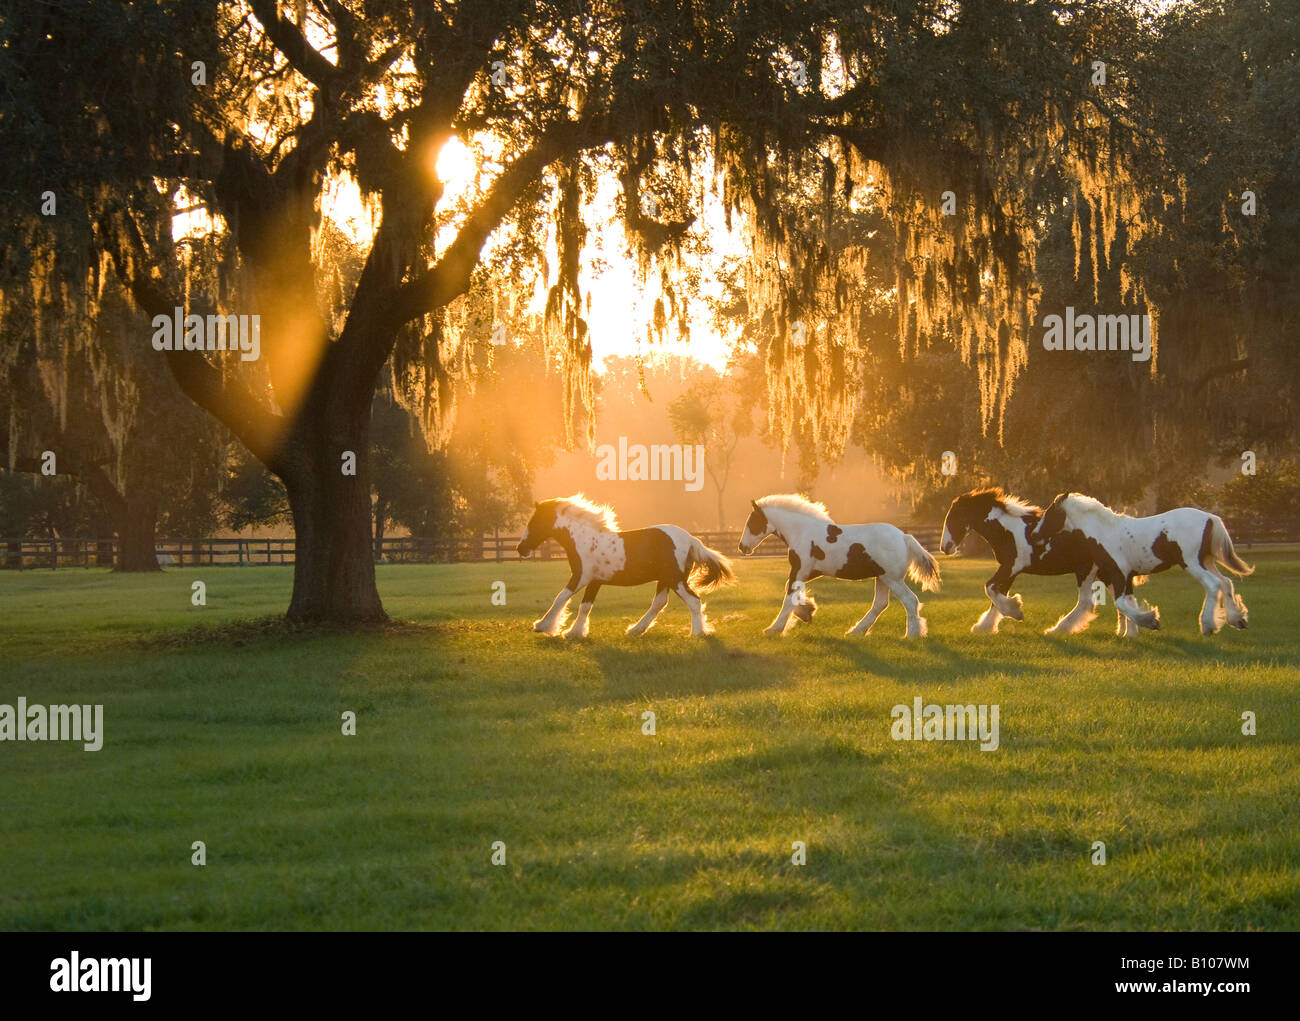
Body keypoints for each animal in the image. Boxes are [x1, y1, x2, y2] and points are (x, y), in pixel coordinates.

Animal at [516, 495, 737, 638]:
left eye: (534, 522)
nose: (520, 548)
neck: (584, 540)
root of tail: (691, 539)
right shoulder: (595, 581)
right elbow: (585, 606)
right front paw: (575, 632)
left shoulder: (580, 577)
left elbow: (561, 598)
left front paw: (543, 626)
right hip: (665, 580)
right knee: (659, 603)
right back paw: (635, 630)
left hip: (676, 579)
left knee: (693, 601)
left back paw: (697, 632)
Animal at [738, 494, 941, 637]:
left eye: (752, 522)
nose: (742, 547)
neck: (802, 531)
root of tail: (905, 537)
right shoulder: (810, 572)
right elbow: (791, 592)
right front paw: (806, 611)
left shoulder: (799, 570)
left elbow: (789, 597)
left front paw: (775, 629)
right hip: (882, 578)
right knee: (881, 604)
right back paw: (856, 631)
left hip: (892, 579)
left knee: (910, 600)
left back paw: (911, 635)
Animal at [939, 487, 1129, 635]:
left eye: (953, 518)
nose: (945, 547)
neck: (1006, 530)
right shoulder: (1010, 571)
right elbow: (996, 595)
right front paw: (985, 626)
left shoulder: (1011, 566)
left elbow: (990, 587)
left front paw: (1015, 611)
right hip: (1105, 571)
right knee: (1118, 599)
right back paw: (1123, 632)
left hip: (1086, 570)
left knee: (1086, 603)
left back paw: (1058, 629)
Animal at [1030, 492, 1253, 635]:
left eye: (1050, 513)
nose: (1034, 536)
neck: (1105, 532)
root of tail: (1211, 518)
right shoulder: (1126, 577)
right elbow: (1127, 604)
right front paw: (1131, 633)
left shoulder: (1119, 574)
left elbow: (1122, 604)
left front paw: (1151, 621)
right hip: (1206, 561)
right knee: (1226, 582)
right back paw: (1237, 619)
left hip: (1192, 563)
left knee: (1214, 585)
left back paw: (1208, 626)